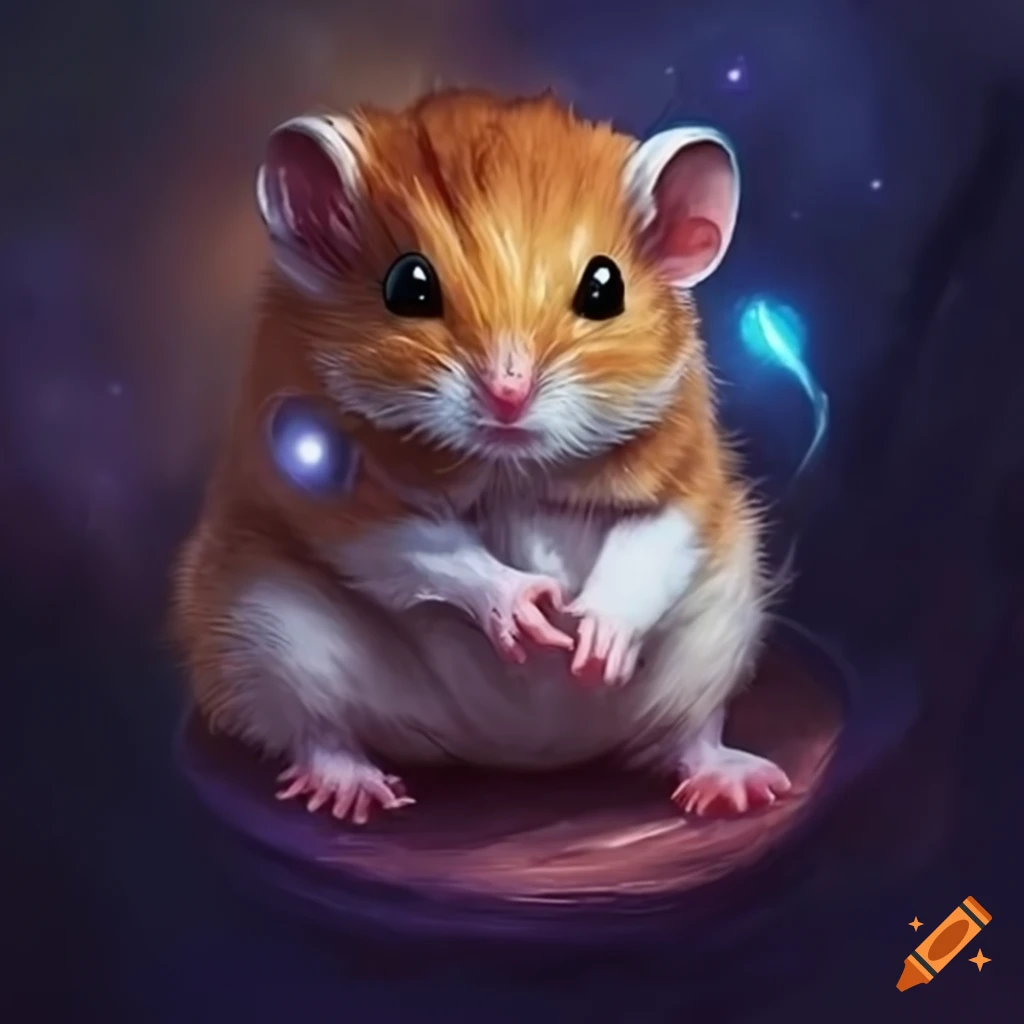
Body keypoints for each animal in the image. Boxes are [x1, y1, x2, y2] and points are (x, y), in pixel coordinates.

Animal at [171, 89, 791, 825]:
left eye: (604, 287)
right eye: (408, 285)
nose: (508, 395)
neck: (512, 467)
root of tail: (522, 752)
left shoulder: (687, 476)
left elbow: (648, 545)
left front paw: (587, 643)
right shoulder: (324, 487)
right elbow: (421, 546)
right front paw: (535, 613)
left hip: (719, 633)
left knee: (690, 730)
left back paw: (737, 785)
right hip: (266, 631)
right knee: (317, 729)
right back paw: (353, 790)